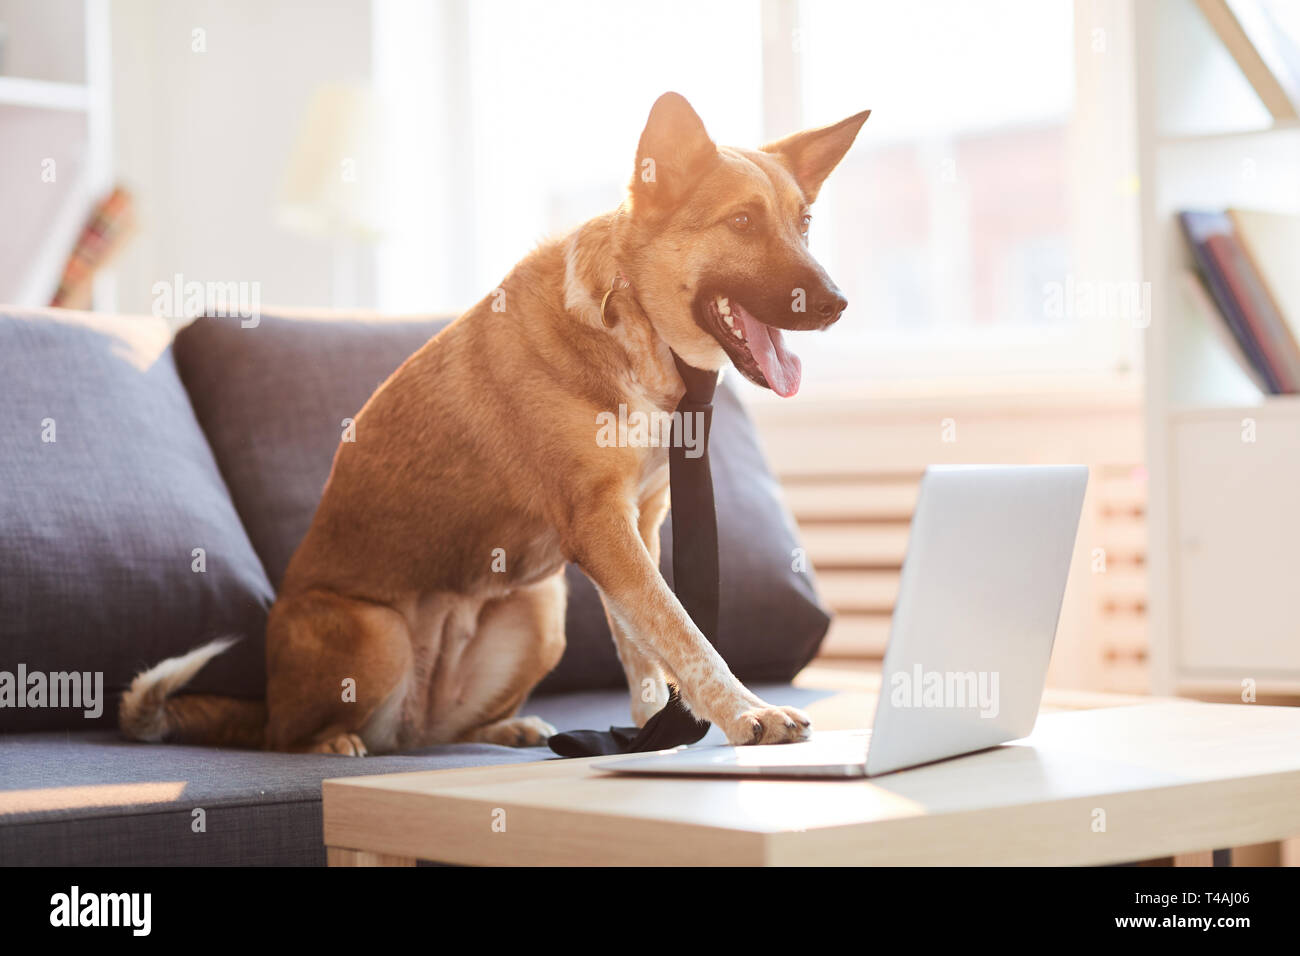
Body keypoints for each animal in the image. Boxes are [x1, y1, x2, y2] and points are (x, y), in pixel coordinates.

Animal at [122, 95, 868, 754]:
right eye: (741, 221)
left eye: (804, 222)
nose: (837, 303)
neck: (634, 330)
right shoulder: (603, 526)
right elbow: (682, 630)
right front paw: (746, 712)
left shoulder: (636, 529)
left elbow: (646, 646)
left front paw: (654, 731)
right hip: (377, 634)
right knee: (291, 736)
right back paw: (332, 742)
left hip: (539, 613)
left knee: (435, 733)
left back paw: (501, 730)